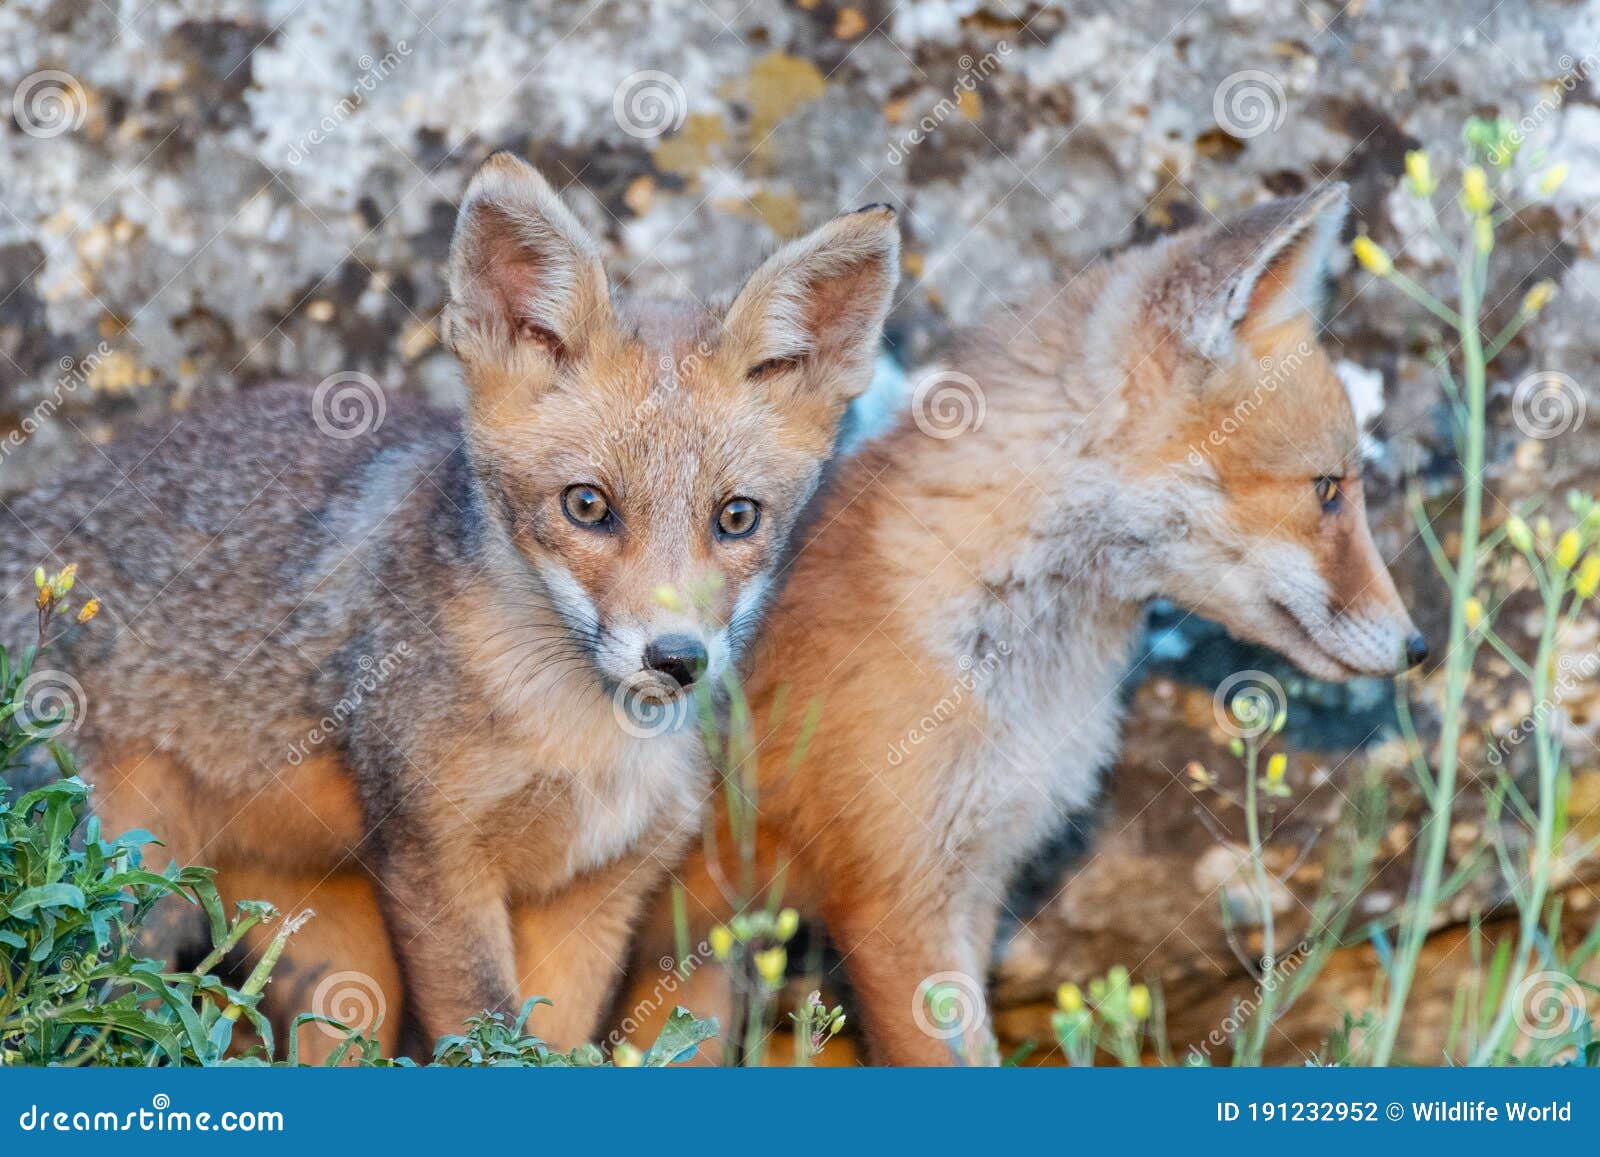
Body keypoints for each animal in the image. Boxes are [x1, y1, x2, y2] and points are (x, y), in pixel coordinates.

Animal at [0, 151, 900, 1058]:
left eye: (737, 517)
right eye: (587, 506)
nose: (677, 659)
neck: (582, 748)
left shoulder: (598, 890)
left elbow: (554, 1039)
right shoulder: (438, 856)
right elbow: (491, 1034)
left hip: (334, 947)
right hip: (124, 896)